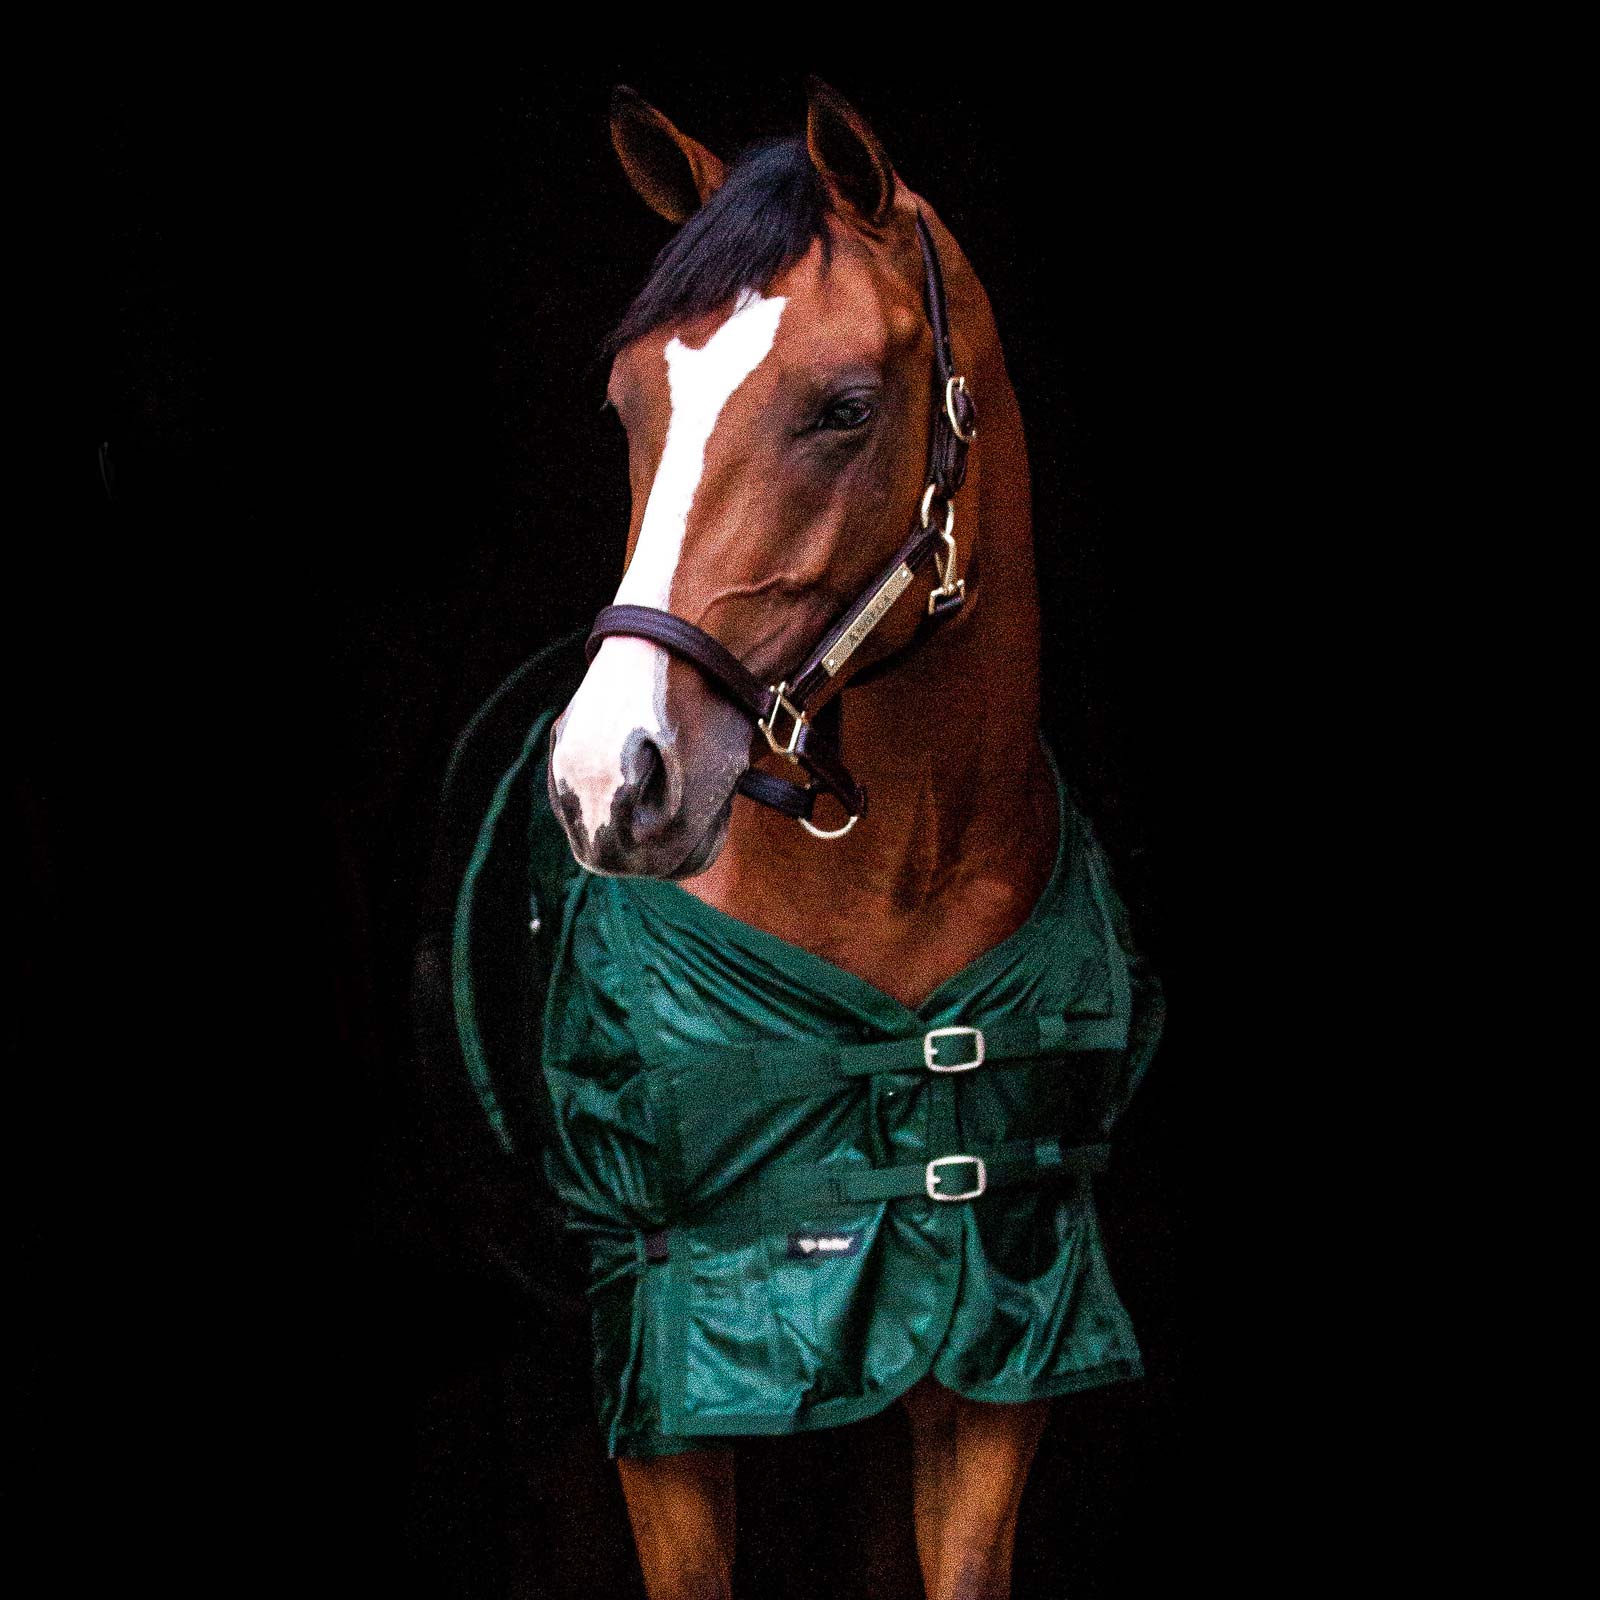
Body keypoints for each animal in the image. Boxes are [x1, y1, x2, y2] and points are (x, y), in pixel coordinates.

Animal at [531, 78, 1156, 1600]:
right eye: (629, 404)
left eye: (844, 408)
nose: (607, 780)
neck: (895, 878)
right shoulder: (665, 1361)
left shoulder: (996, 1333)